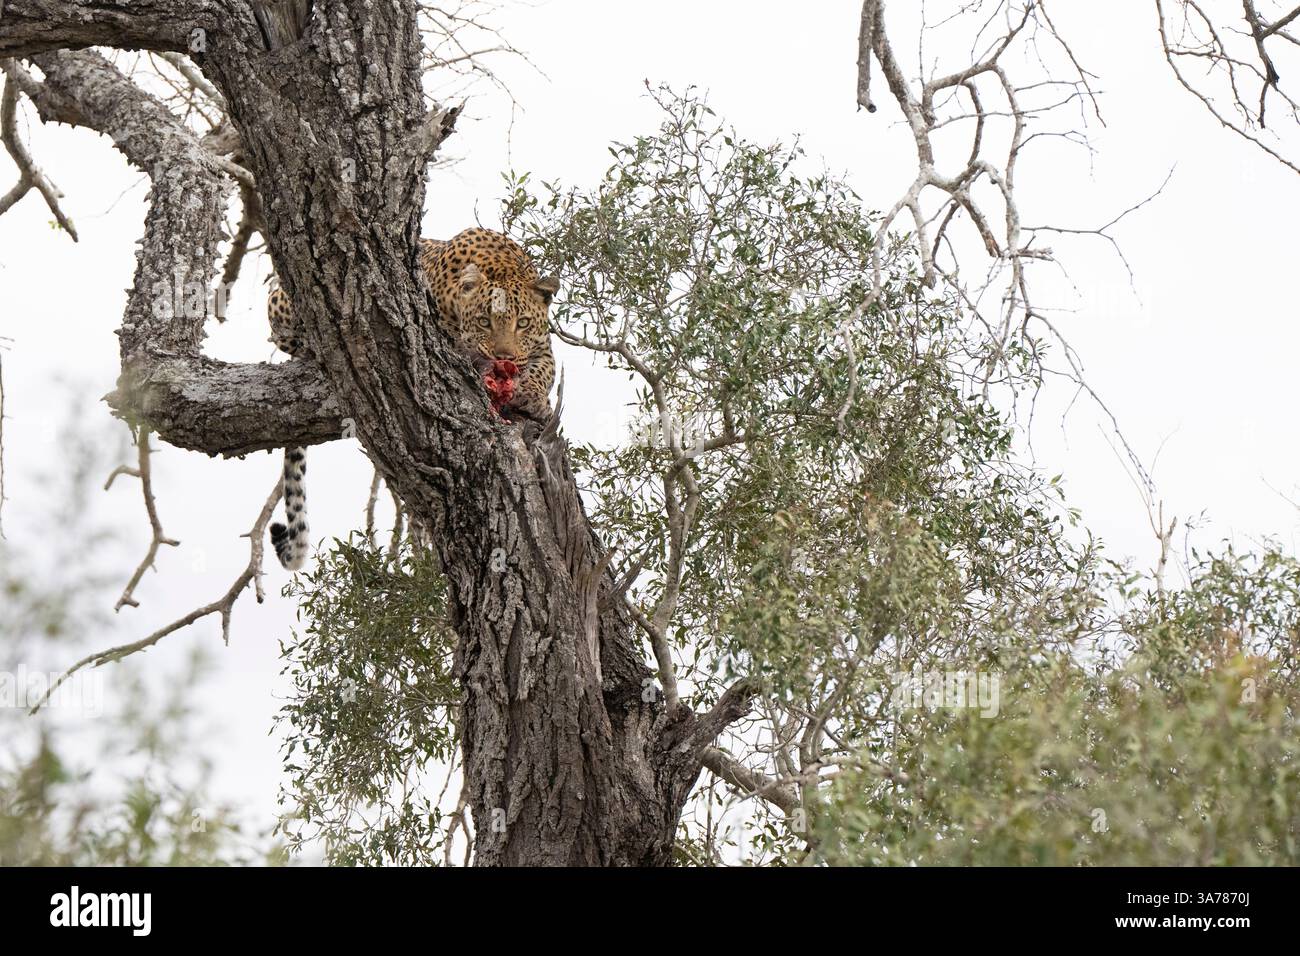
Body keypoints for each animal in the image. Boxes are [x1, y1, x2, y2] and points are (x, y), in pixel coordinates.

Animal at [266, 227, 560, 571]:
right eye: (484, 322)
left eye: (522, 323)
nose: (505, 358)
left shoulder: (543, 348)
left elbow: (543, 371)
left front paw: (534, 397)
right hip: (279, 302)